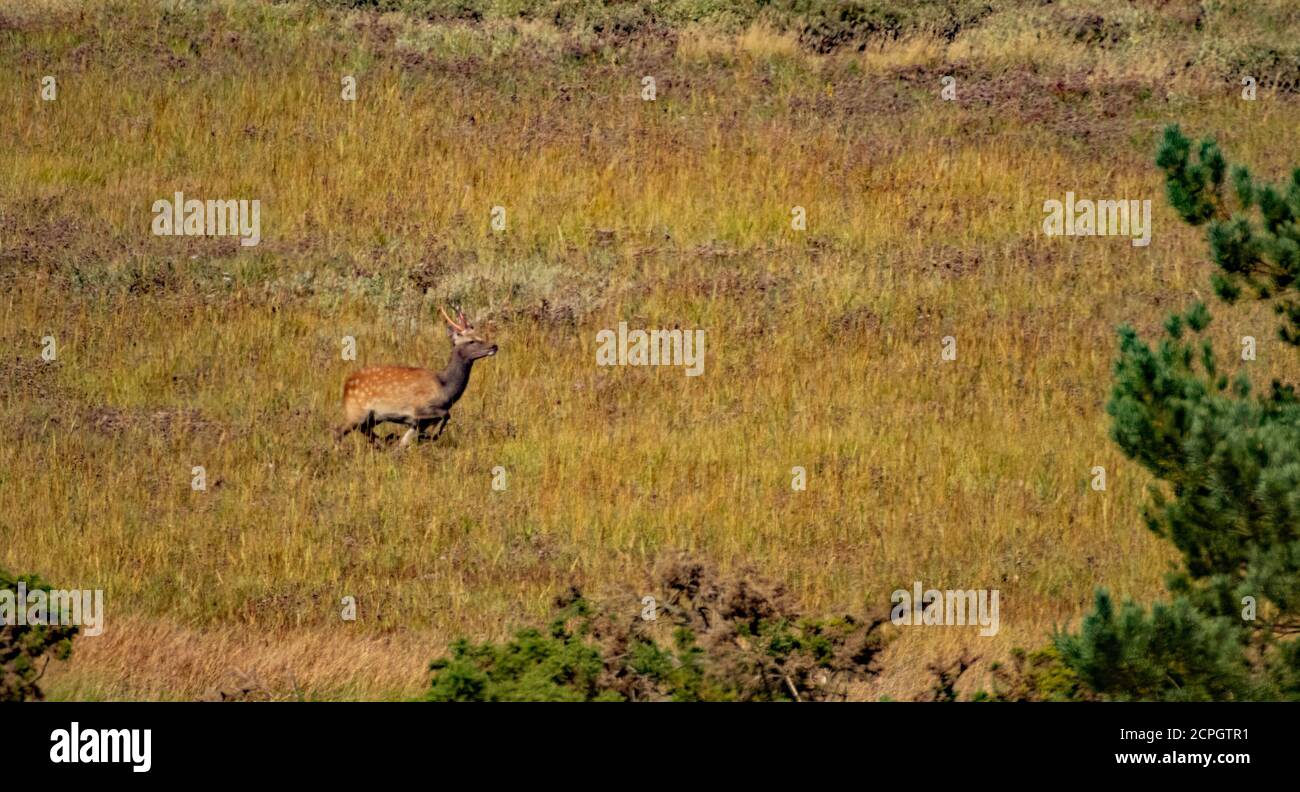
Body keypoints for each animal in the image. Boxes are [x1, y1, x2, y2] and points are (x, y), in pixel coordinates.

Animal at [334, 307, 497, 448]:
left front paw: (406, 443)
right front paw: (429, 436)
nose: (494, 346)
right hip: (356, 412)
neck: (445, 388)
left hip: (373, 417)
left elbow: (408, 438)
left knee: (364, 431)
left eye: (480, 335)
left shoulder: (418, 421)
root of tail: (346, 385)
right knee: (338, 431)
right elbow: (446, 415)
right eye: (471, 340)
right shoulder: (420, 408)